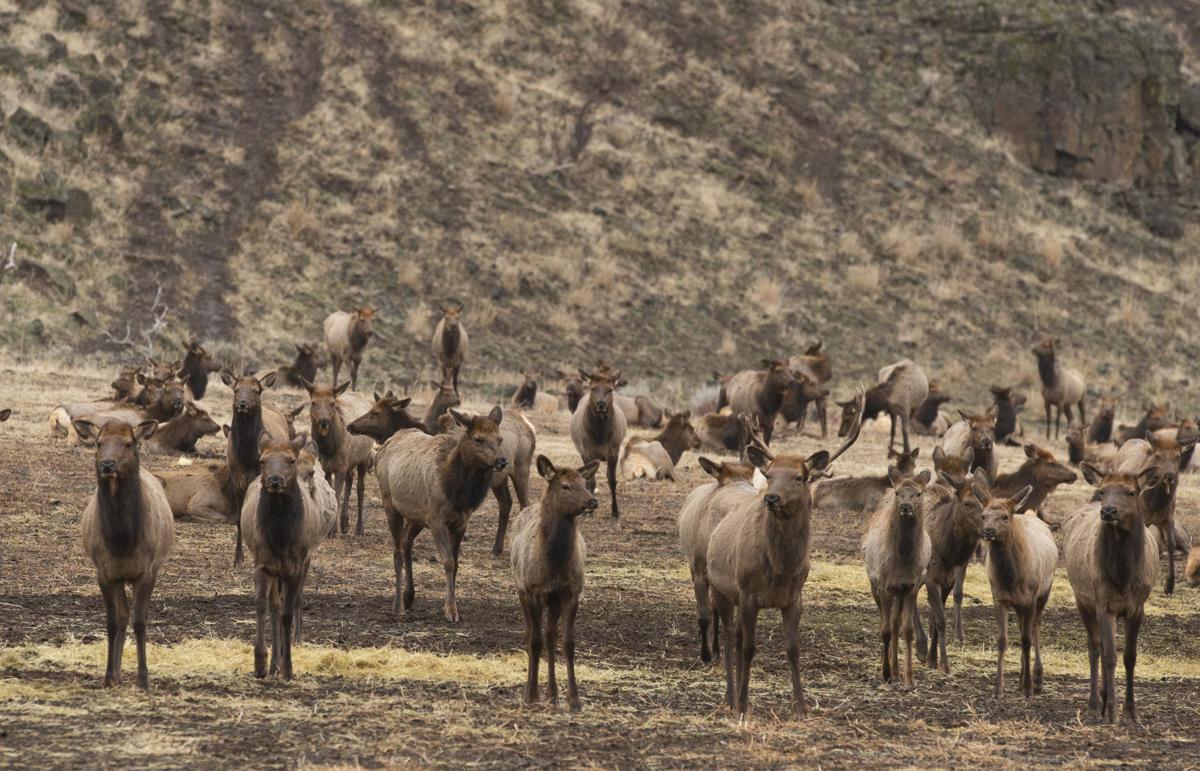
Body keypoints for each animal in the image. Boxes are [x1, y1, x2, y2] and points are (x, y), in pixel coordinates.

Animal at [72, 418, 175, 690]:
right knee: (122, 617)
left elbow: (140, 622)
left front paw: (143, 679)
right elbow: (112, 622)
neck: (122, 542)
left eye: (129, 443)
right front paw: (108, 676)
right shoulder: (105, 572)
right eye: (98, 443)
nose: (107, 464)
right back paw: (117, 675)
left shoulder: (147, 571)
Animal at [510, 455, 600, 710]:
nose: (592, 501)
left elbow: (568, 643)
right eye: (565, 486)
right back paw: (535, 690)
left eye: (584, 482)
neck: (554, 566)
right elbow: (535, 641)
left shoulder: (571, 592)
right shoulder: (532, 591)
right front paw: (530, 695)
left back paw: (553, 692)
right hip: (522, 590)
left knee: (550, 636)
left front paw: (574, 699)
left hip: (553, 601)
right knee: (531, 634)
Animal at [570, 369, 627, 519]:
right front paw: (590, 511)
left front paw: (615, 512)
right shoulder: (587, 451)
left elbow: (612, 480)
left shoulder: (614, 450)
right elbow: (591, 481)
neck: (600, 436)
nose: (601, 404)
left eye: (610, 389)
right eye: (593, 388)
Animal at [705, 390, 864, 717]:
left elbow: (793, 649)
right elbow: (749, 648)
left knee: (735, 637)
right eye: (769, 474)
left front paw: (801, 706)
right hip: (720, 587)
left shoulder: (794, 597)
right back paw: (730, 697)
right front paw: (743, 704)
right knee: (728, 637)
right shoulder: (748, 593)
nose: (771, 498)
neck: (781, 567)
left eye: (799, 477)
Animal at [1066, 465, 1160, 723]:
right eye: (1102, 491)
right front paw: (1112, 712)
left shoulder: (1137, 608)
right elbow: (1109, 656)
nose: (1108, 511)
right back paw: (1095, 703)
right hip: (1083, 600)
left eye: (1131, 492)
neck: (1123, 576)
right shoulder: (1104, 606)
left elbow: (1130, 656)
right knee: (1095, 647)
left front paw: (1131, 711)